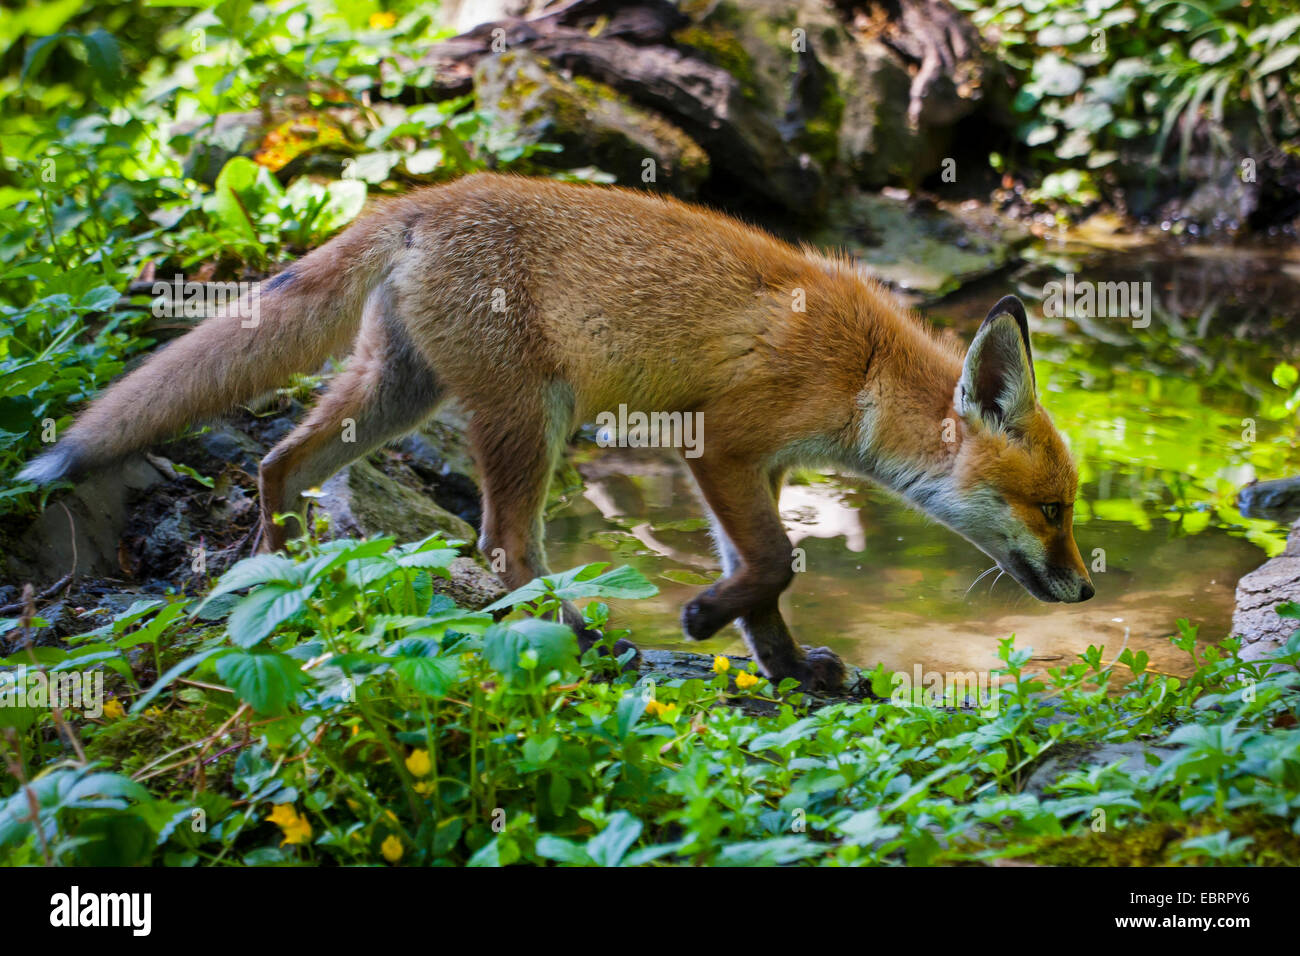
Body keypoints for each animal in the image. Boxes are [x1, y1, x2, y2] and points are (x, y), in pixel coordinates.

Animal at [18, 173, 1093, 692]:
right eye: (1052, 509)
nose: (1087, 588)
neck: (859, 368)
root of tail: (419, 201)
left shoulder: (762, 468)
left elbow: (769, 585)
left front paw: (788, 669)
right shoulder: (719, 446)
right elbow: (776, 565)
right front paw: (703, 621)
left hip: (399, 394)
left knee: (281, 460)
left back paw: (283, 577)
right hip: (530, 418)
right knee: (502, 546)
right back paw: (578, 638)